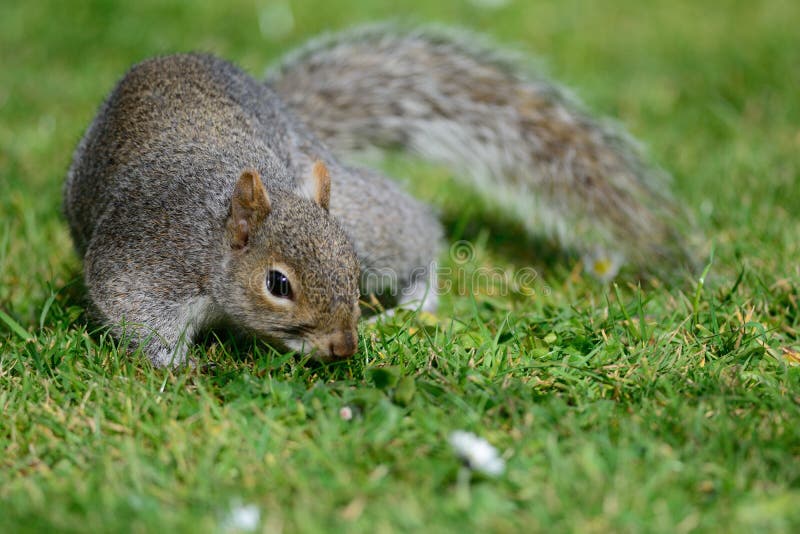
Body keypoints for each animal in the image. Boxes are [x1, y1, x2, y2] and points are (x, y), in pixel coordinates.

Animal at [64, 24, 695, 367]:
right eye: (278, 285)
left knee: (420, 232)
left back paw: (413, 303)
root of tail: (288, 114)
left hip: (366, 215)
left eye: (349, 266)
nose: (345, 346)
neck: (217, 240)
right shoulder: (148, 255)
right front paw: (180, 371)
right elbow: (135, 312)